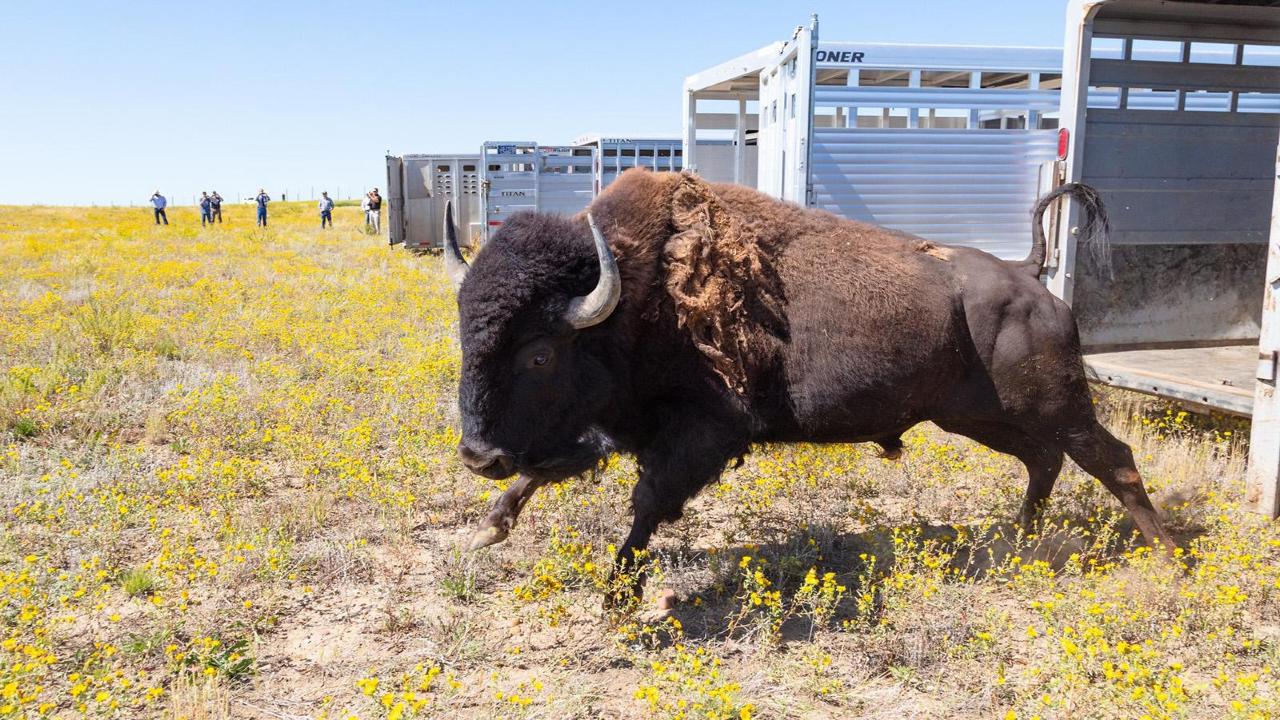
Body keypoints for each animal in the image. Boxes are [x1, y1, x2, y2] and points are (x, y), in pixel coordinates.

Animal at [443, 170, 1174, 596]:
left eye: (539, 354)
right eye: (464, 333)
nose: (478, 455)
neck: (630, 299)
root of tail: (1027, 276)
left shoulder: (702, 436)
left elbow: (646, 503)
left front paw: (617, 593)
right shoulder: (611, 430)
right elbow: (545, 471)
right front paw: (487, 530)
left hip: (1056, 406)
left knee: (1111, 459)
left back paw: (1170, 557)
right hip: (979, 418)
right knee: (1043, 459)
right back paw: (1017, 542)